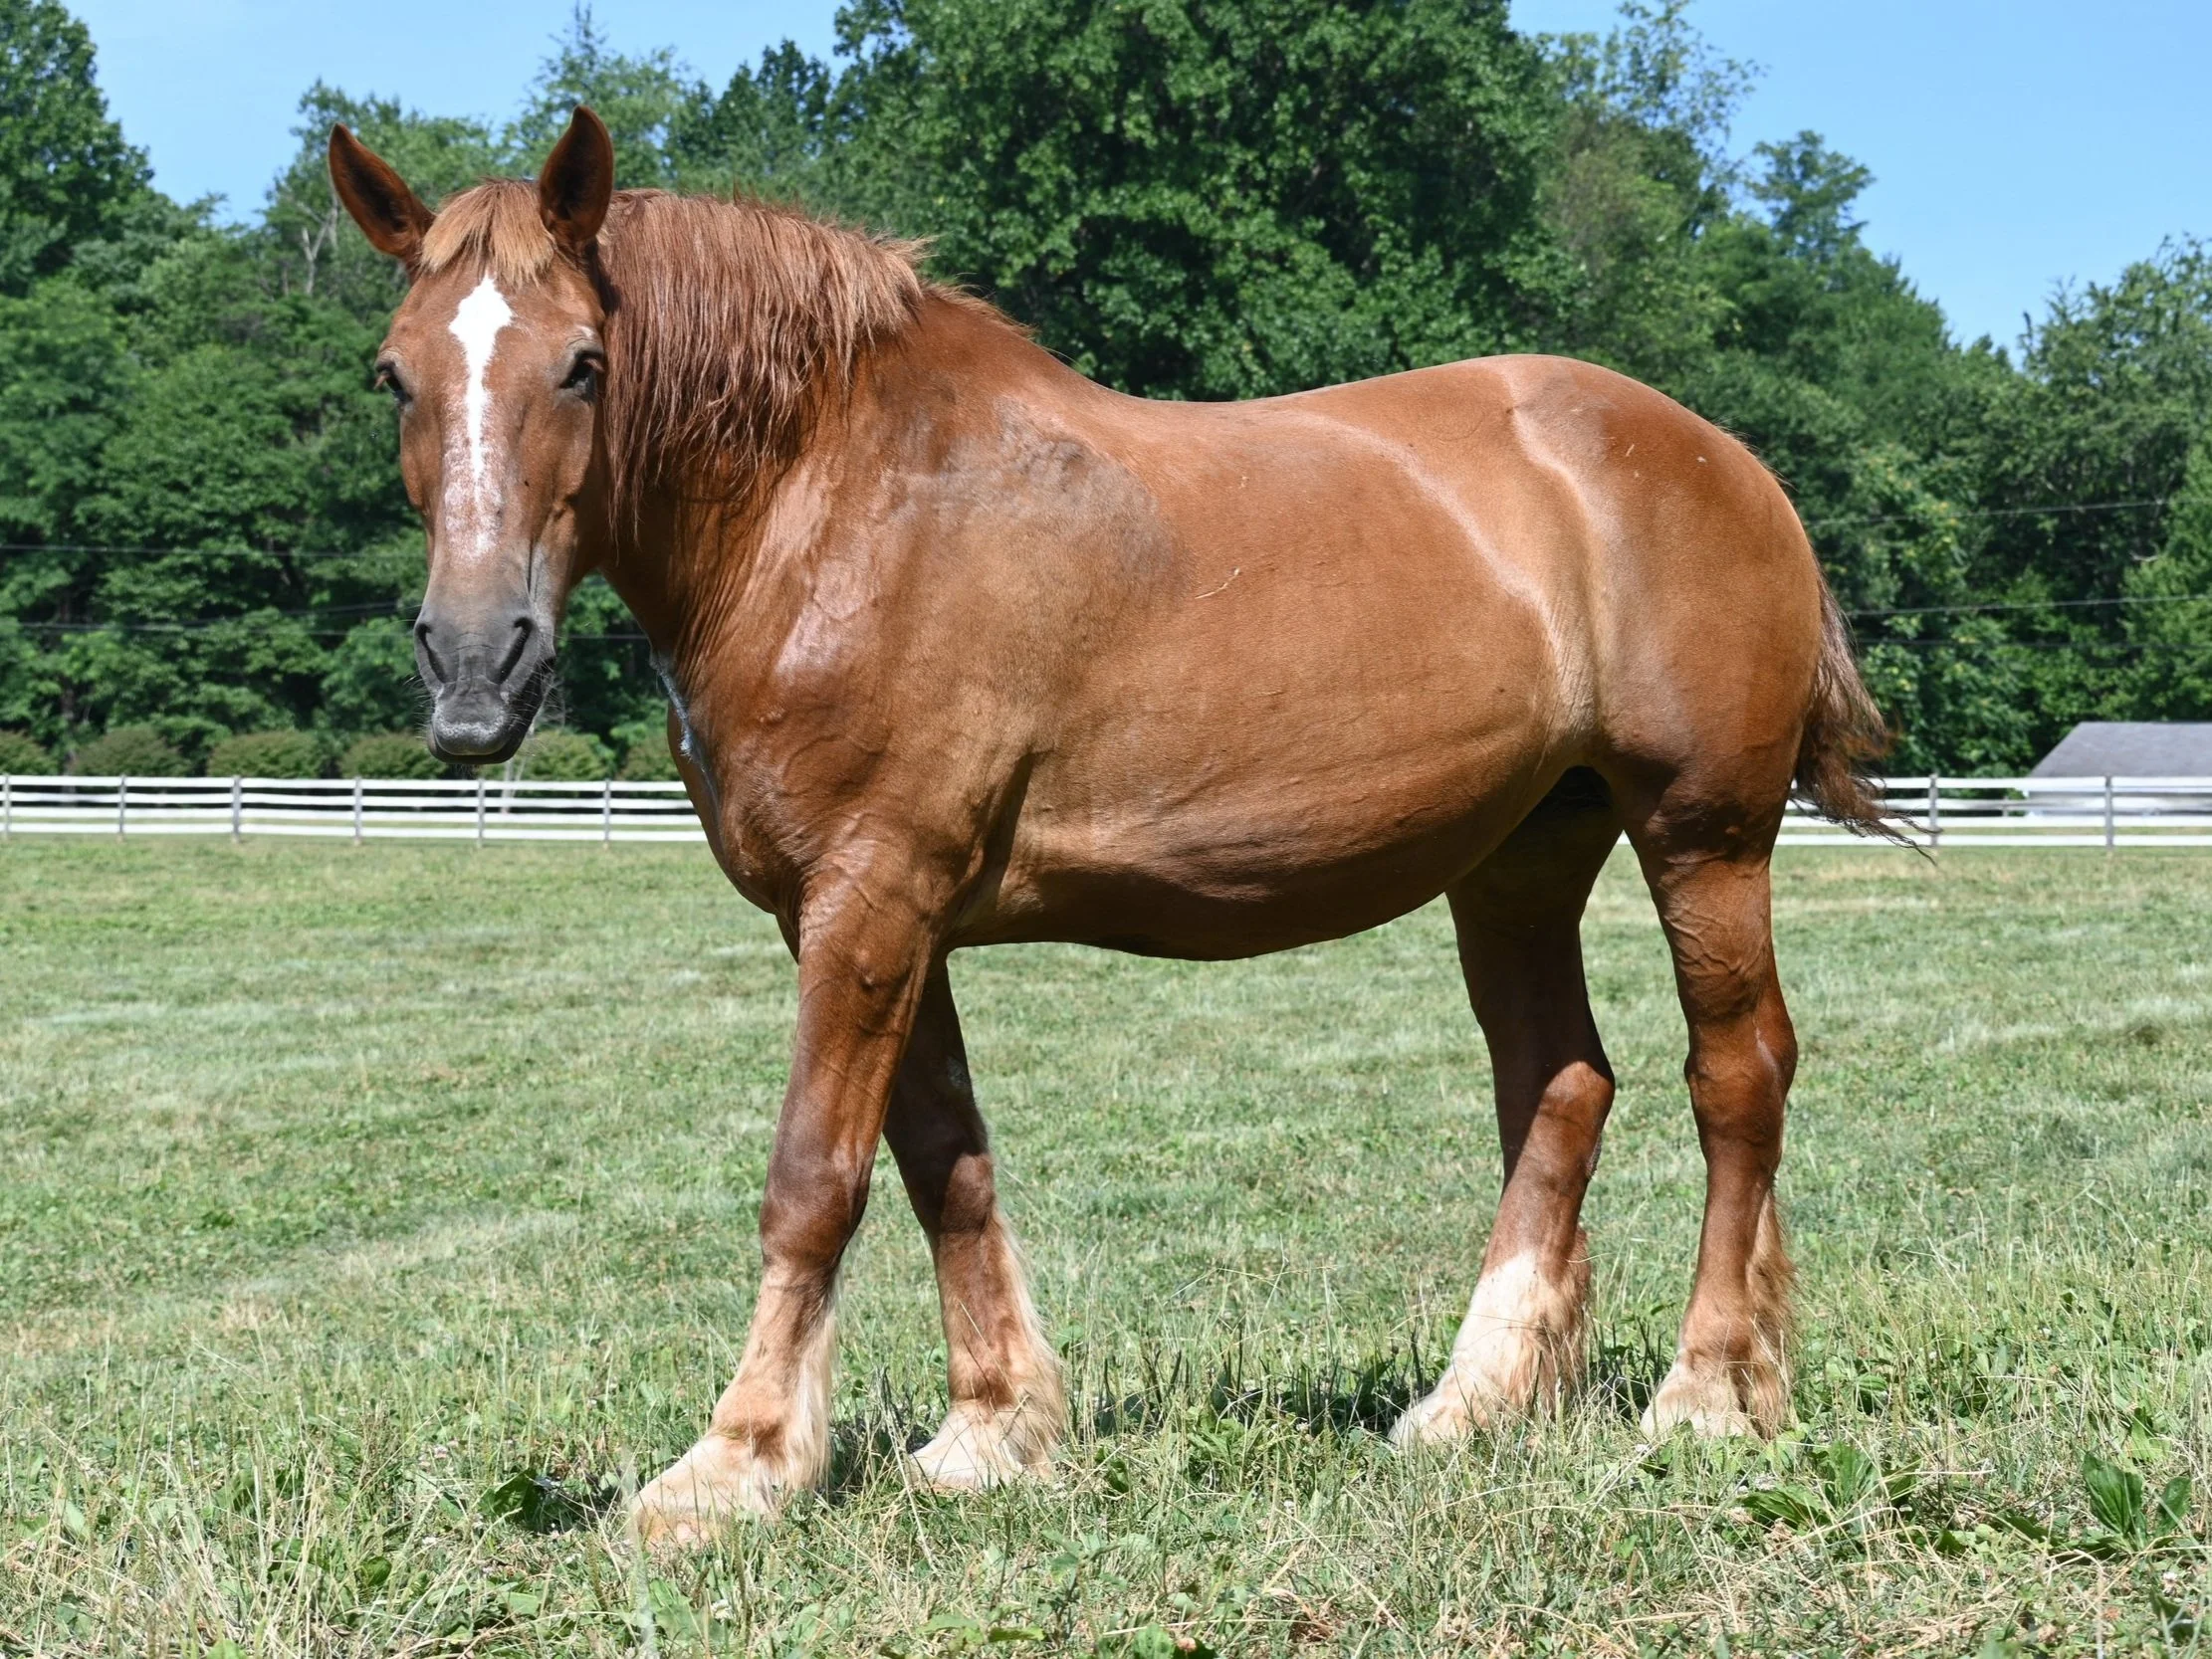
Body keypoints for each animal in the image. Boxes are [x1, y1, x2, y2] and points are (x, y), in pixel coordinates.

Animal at [329, 107, 1891, 1545]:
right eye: (395, 373)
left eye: (582, 363)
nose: (472, 670)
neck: (834, 502)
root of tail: (1720, 458)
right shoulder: (876, 916)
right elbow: (942, 1159)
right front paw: (992, 1429)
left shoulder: (870, 898)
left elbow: (813, 1176)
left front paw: (736, 1462)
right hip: (1517, 862)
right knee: (1558, 1087)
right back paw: (1474, 1398)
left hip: (1701, 833)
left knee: (1734, 1077)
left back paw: (1706, 1393)